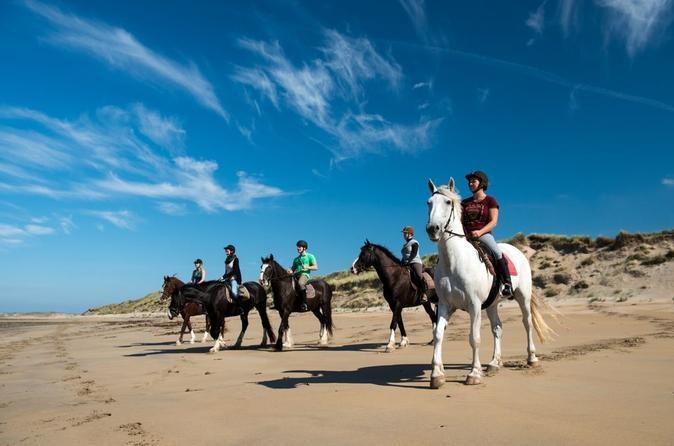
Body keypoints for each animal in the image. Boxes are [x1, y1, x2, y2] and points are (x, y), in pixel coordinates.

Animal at [425, 178, 555, 388]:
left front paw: (474, 374)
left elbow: (474, 338)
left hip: (523, 297)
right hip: (493, 304)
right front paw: (437, 375)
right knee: (498, 328)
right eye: (428, 202)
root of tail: (517, 251)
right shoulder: (445, 305)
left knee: (527, 323)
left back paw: (532, 358)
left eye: (447, 202)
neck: (454, 261)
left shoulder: (474, 305)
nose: (432, 229)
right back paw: (494, 363)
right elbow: (438, 335)